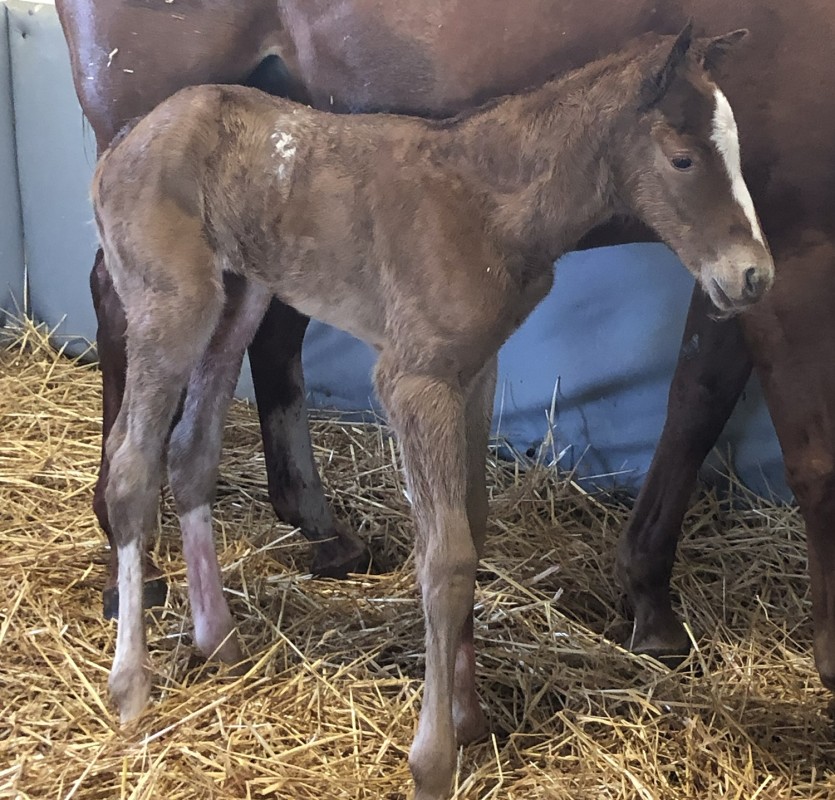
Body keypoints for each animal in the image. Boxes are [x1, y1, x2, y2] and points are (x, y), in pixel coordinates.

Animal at [55, 0, 835, 692]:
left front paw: (648, 603)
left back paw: (308, 540)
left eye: (736, 150)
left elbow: (694, 402)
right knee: (119, 325)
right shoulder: (800, 244)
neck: (486, 189)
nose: (751, 272)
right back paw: (129, 572)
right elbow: (810, 459)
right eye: (681, 159)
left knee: (249, 364)